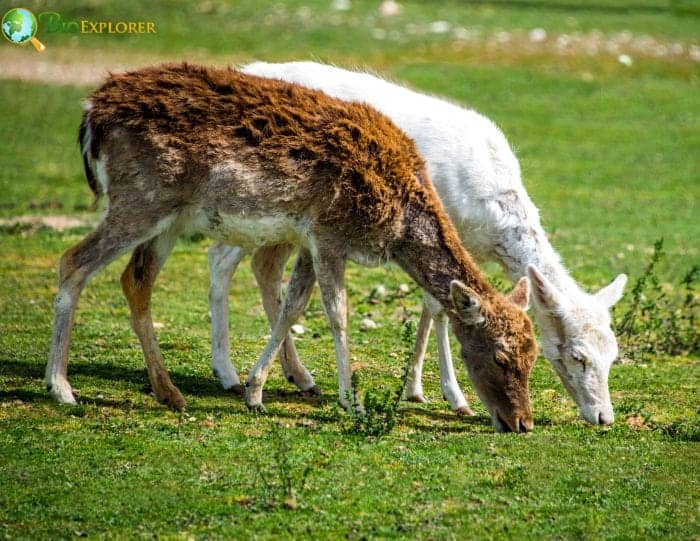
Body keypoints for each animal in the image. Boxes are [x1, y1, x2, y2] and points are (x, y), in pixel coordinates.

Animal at [45, 63, 537, 433]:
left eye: (533, 356)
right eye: (501, 357)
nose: (522, 423)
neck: (398, 224)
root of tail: (91, 114)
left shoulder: (307, 239)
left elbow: (293, 305)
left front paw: (257, 390)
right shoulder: (329, 233)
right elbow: (336, 314)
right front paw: (351, 401)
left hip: (170, 216)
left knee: (136, 279)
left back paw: (169, 393)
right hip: (140, 199)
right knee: (74, 261)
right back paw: (62, 388)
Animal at [205, 61, 627, 425]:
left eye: (613, 355)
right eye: (578, 356)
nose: (604, 417)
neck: (487, 217)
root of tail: (244, 68)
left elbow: (432, 306)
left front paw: (417, 387)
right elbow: (439, 309)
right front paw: (455, 397)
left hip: (286, 226)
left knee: (265, 267)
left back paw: (299, 376)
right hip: (249, 207)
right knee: (220, 261)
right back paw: (228, 372)